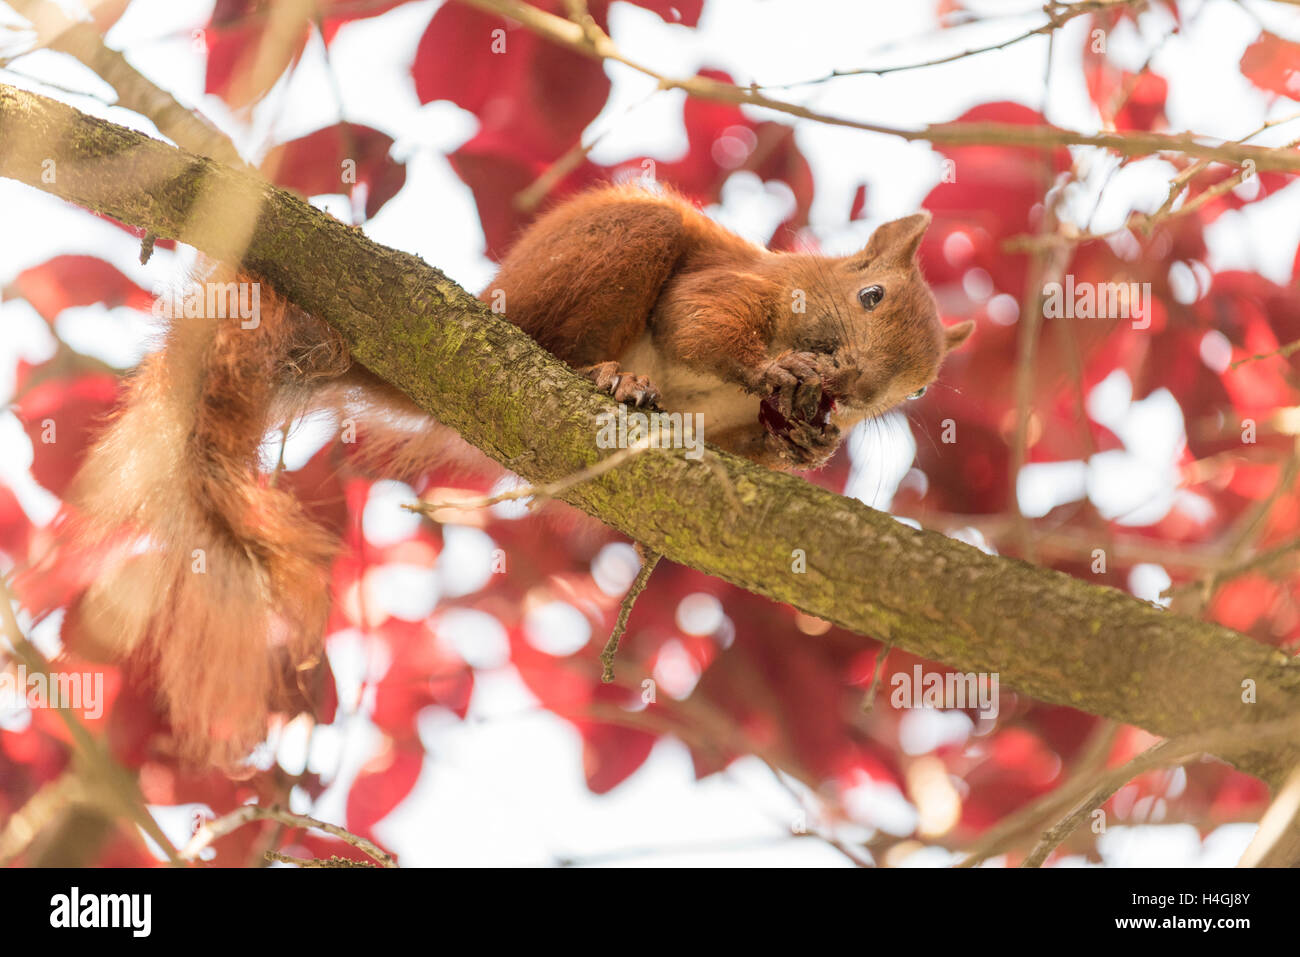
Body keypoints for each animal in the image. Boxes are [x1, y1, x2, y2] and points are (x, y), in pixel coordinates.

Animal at [51, 183, 972, 766]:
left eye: (921, 388)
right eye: (872, 296)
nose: (857, 391)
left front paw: (806, 445)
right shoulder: (733, 284)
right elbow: (703, 324)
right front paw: (775, 365)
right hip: (614, 249)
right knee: (563, 332)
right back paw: (612, 374)